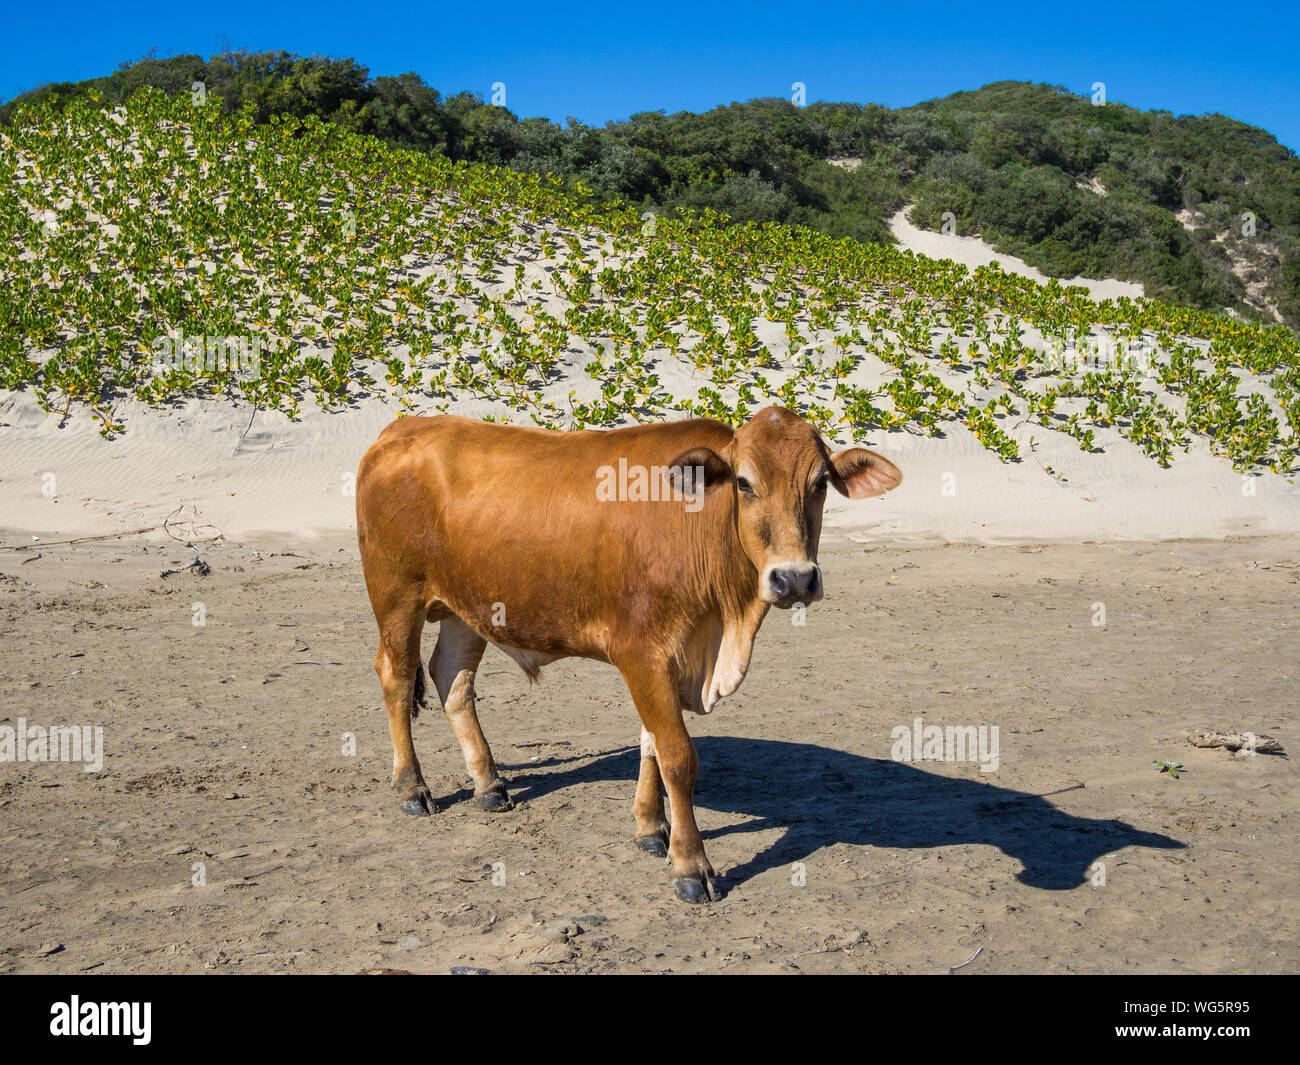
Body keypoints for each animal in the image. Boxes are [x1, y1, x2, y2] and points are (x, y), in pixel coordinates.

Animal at [356, 406, 902, 903]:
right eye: (744, 483)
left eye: (820, 483)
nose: (794, 579)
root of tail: (402, 427)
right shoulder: (644, 653)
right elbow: (678, 756)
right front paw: (690, 865)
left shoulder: (667, 660)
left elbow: (651, 744)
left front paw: (650, 827)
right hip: (396, 595)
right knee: (397, 677)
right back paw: (412, 787)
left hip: (465, 609)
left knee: (452, 679)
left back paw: (489, 784)